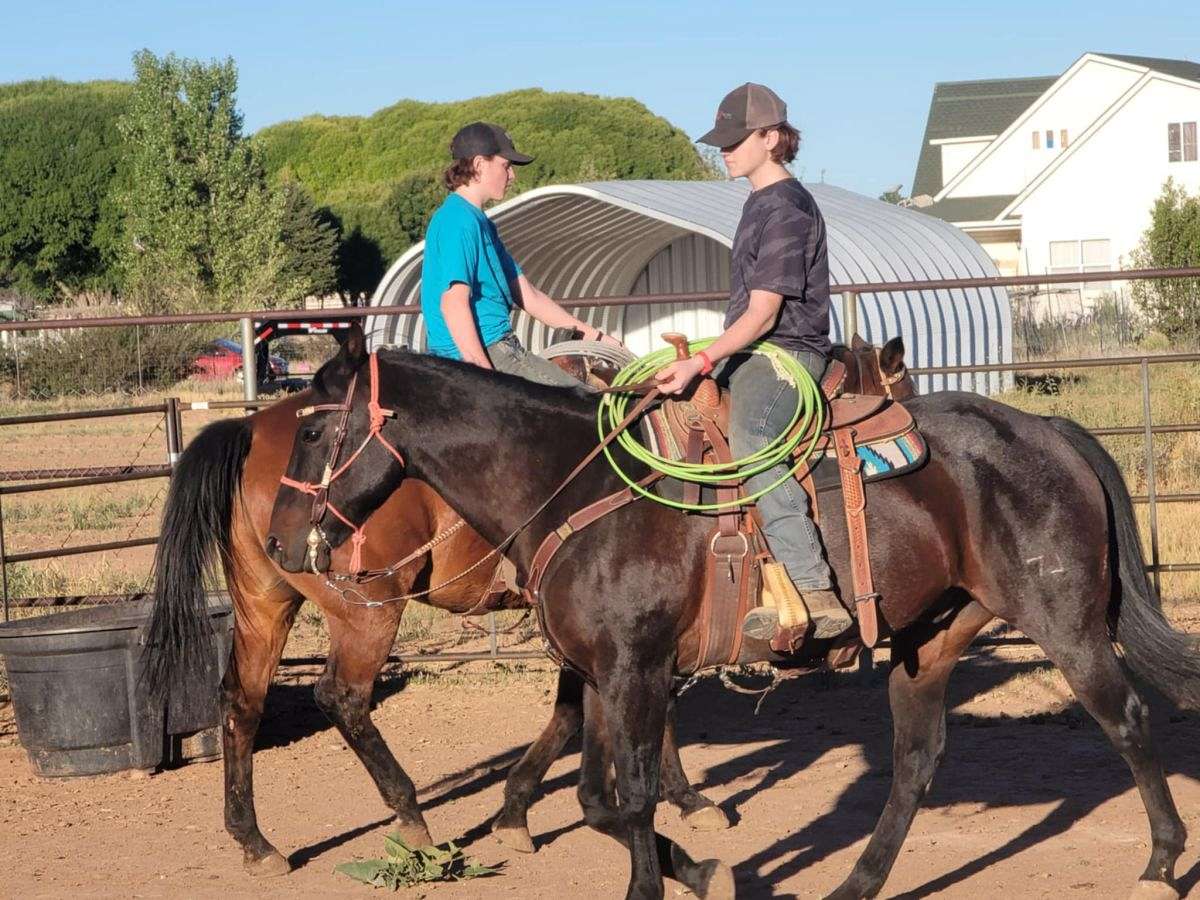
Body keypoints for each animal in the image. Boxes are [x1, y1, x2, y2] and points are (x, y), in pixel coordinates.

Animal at [139, 383, 728, 878]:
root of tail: (252, 426)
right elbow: (636, 705)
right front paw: (688, 798)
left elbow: (574, 710)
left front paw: (515, 811)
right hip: (365, 613)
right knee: (340, 696)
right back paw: (410, 816)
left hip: (265, 602)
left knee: (241, 701)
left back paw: (255, 841)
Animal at [257, 327, 1199, 900]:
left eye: (315, 431)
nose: (278, 539)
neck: (577, 485)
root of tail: (1044, 428)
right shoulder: (599, 673)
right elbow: (597, 799)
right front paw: (704, 868)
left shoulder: (635, 672)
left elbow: (634, 794)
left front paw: (660, 877)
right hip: (931, 639)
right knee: (917, 760)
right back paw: (857, 882)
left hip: (1066, 621)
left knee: (1126, 718)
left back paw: (1159, 862)